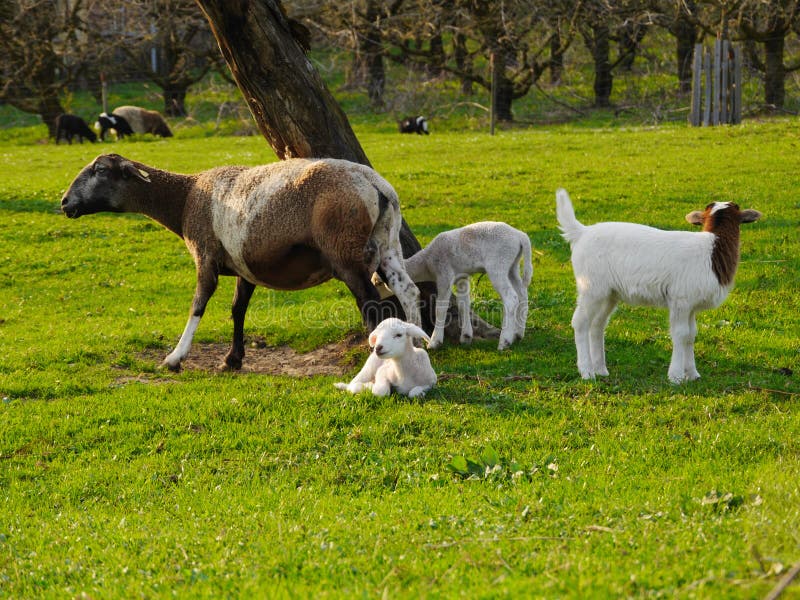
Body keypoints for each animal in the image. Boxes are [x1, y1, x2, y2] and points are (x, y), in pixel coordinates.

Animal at [60, 154, 422, 371]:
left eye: (100, 170)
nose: (64, 203)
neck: (185, 198)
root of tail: (376, 185)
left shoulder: (205, 254)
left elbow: (198, 304)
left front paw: (175, 357)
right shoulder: (242, 267)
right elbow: (238, 309)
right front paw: (232, 359)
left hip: (344, 250)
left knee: (370, 303)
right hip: (386, 244)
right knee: (408, 291)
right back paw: (419, 344)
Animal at [399, 221, 532, 350]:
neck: (426, 263)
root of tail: (520, 236)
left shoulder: (444, 274)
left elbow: (440, 308)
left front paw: (434, 342)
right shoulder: (461, 277)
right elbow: (463, 304)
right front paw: (466, 337)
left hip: (498, 264)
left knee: (511, 298)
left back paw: (505, 341)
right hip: (512, 265)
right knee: (522, 293)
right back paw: (518, 334)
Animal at [556, 188, 762, 384]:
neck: (712, 250)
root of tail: (582, 232)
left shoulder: (692, 304)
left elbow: (691, 335)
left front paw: (693, 374)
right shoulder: (680, 300)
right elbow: (680, 334)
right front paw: (676, 376)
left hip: (609, 293)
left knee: (597, 324)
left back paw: (600, 369)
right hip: (591, 286)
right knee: (580, 322)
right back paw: (587, 372)